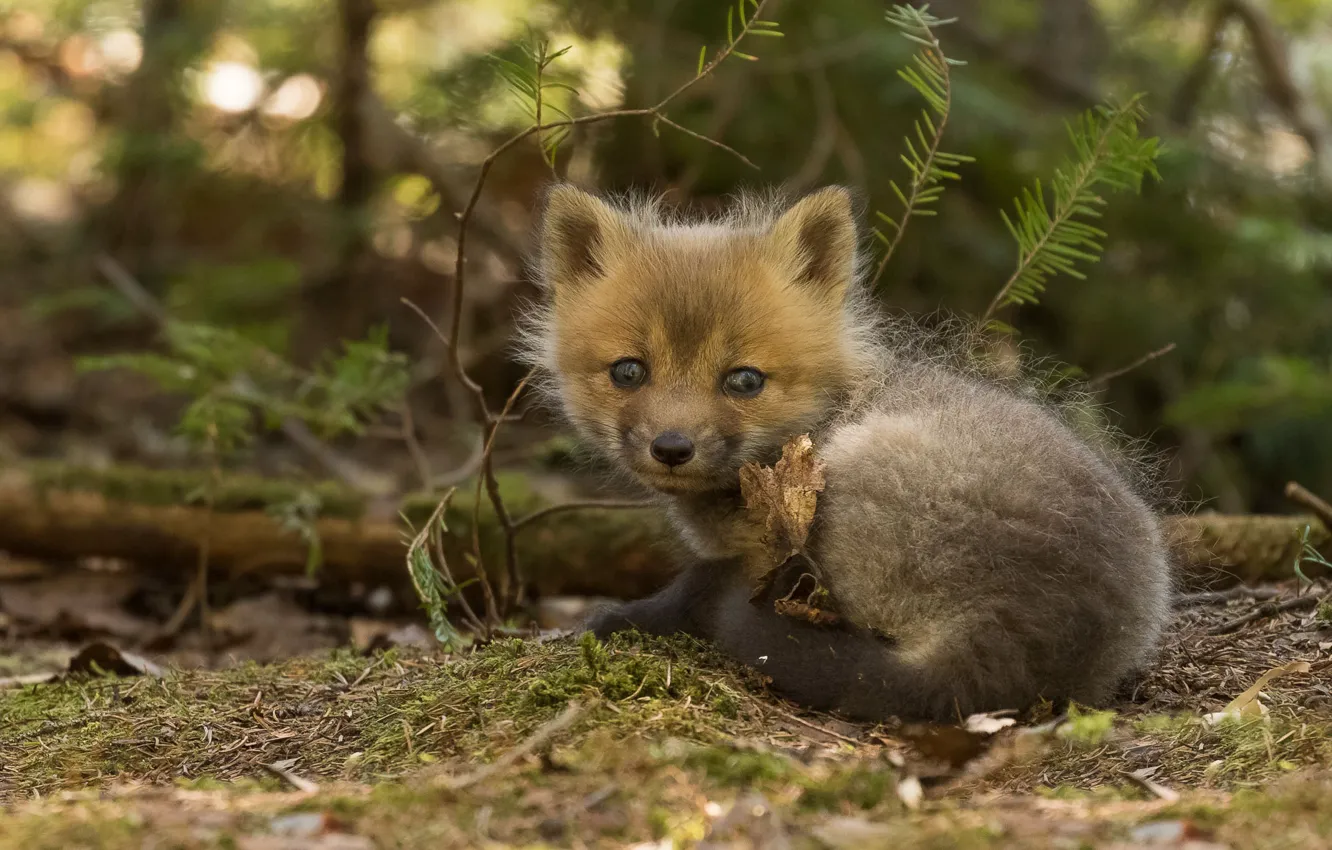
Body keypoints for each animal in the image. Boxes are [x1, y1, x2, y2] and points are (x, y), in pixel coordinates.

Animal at [519, 183, 1173, 722]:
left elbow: (694, 591)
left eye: (744, 381)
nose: (672, 448)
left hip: (857, 472)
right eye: (628, 371)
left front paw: (624, 619)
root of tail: (1016, 636)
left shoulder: (760, 551)